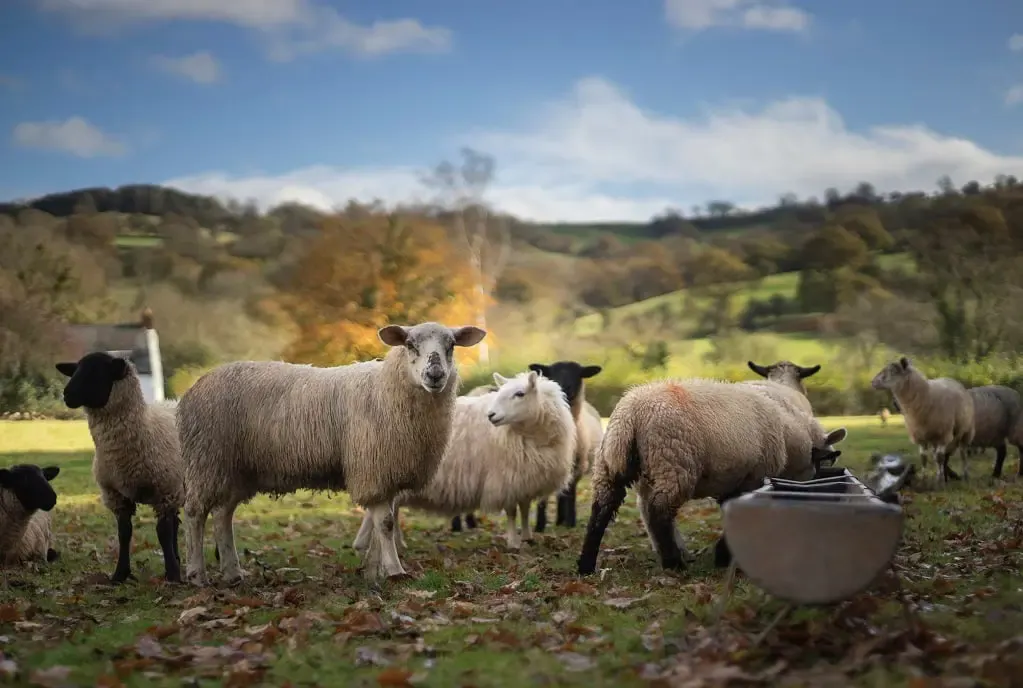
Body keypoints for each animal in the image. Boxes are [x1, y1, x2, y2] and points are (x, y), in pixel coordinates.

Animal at [56, 352, 183, 583]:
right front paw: (120, 574)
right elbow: (124, 533)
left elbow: (162, 532)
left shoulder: (164, 489)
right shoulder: (116, 494)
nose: (67, 394)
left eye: (97, 371)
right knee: (176, 523)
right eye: (76, 369)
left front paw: (172, 574)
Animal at [177, 322, 487, 586]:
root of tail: (191, 391)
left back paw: (232, 573)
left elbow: (380, 524)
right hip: (206, 460)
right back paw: (196, 574)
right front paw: (394, 571)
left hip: (235, 469)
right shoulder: (372, 468)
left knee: (223, 514)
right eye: (410, 344)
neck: (386, 390)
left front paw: (374, 570)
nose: (435, 375)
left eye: (451, 345)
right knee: (195, 513)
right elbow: (385, 523)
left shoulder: (388, 472)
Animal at [354, 369, 576, 552]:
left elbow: (524, 508)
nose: (491, 415)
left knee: (392, 510)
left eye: (520, 394)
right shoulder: (505, 479)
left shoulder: (526, 477)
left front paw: (528, 537)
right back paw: (368, 544)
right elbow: (513, 512)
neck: (530, 433)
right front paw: (514, 543)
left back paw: (391, 543)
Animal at [526, 361, 604, 532]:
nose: (566, 388)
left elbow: (570, 493)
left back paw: (562, 520)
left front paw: (570, 522)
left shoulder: (578, 465)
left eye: (579, 374)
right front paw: (539, 526)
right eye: (552, 374)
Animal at [576, 378, 846, 575]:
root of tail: (631, 414)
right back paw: (674, 564)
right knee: (659, 512)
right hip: (674, 462)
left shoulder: (735, 480)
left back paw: (586, 565)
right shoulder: (753, 477)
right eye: (825, 460)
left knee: (601, 510)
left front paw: (724, 554)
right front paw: (723, 555)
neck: (788, 435)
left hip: (609, 467)